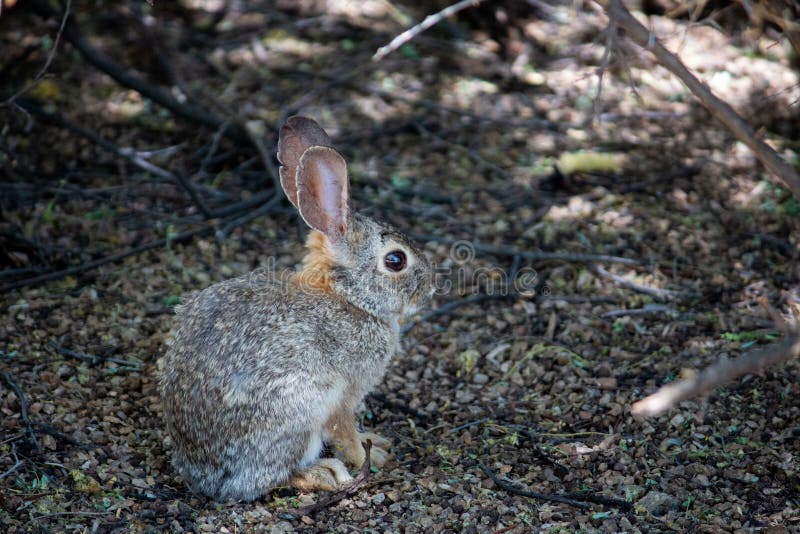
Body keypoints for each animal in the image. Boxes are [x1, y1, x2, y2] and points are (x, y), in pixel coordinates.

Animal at [160, 116, 434, 502]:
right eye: (396, 260)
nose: (430, 287)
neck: (348, 297)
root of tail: (207, 478)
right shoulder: (342, 393)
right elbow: (345, 430)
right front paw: (369, 454)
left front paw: (375, 441)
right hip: (298, 410)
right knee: (276, 477)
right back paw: (326, 473)